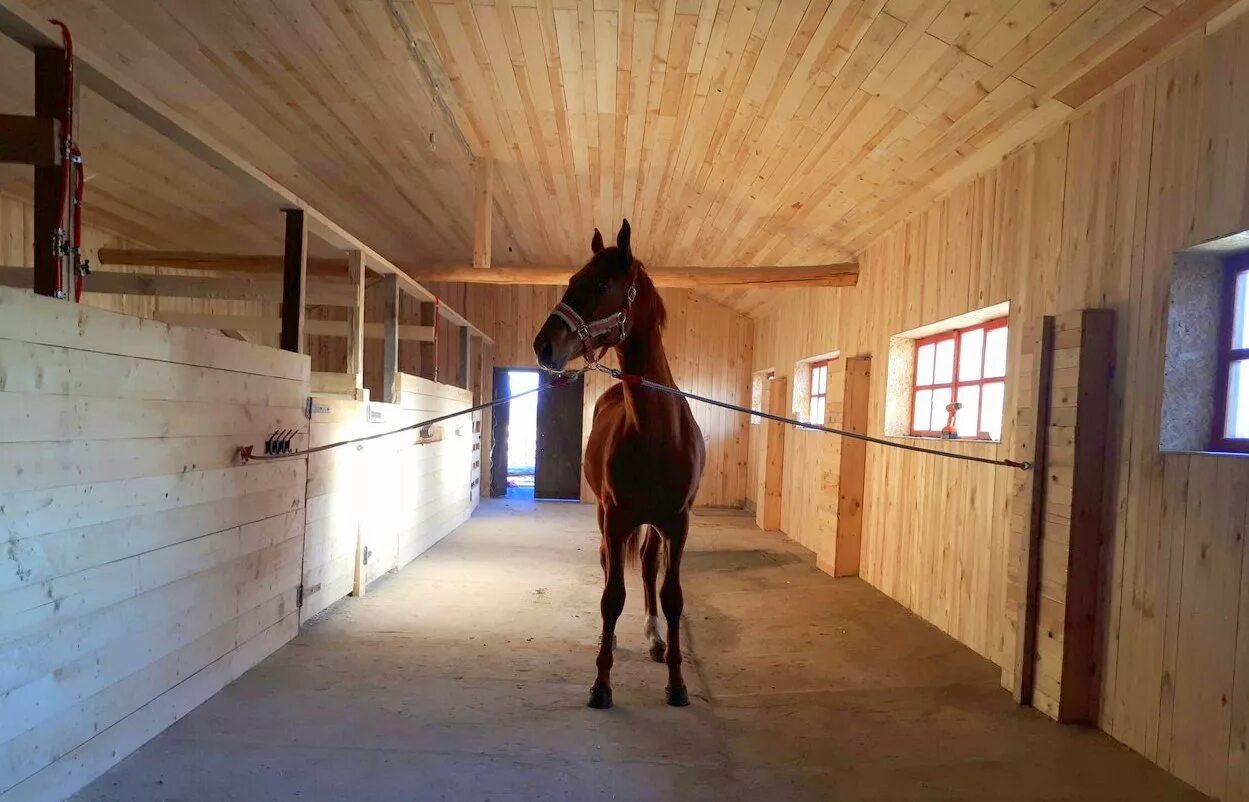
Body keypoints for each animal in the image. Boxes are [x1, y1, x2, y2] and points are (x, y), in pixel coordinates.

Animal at [534, 218, 709, 704]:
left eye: (601, 284)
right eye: (571, 279)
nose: (543, 347)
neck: (656, 434)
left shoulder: (677, 522)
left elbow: (672, 596)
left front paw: (677, 683)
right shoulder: (615, 518)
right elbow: (612, 595)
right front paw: (602, 682)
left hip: (652, 525)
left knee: (648, 569)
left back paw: (654, 637)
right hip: (607, 516)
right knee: (609, 566)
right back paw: (609, 638)